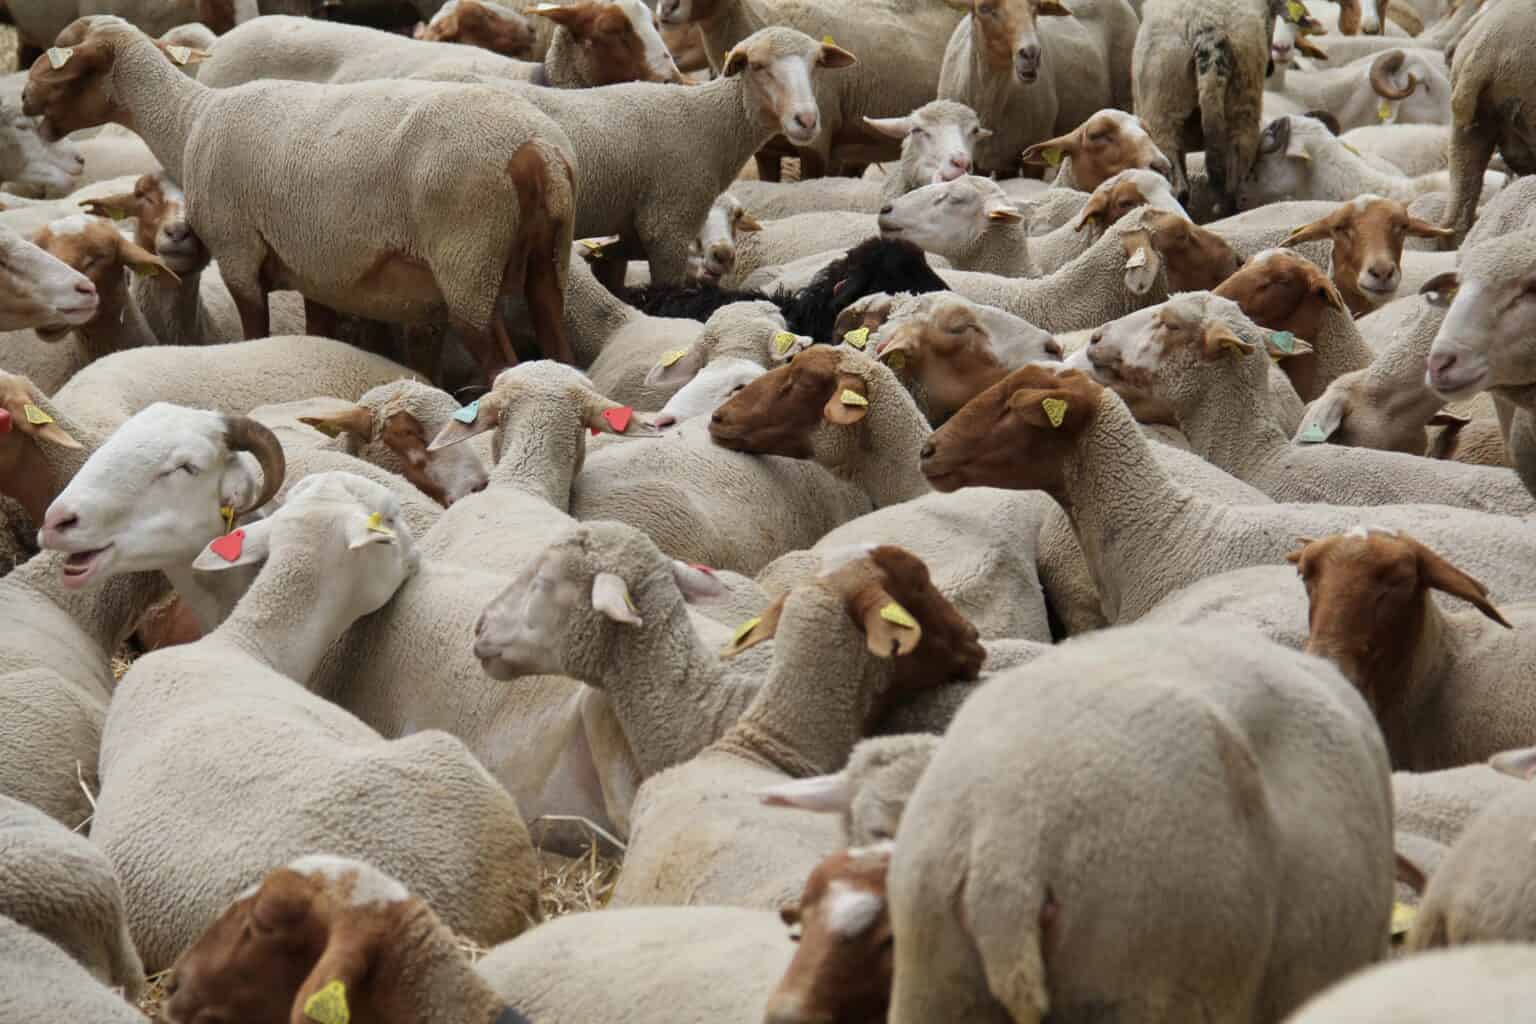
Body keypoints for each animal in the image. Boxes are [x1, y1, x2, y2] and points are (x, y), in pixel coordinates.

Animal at [25, 17, 580, 380]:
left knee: (502, 365)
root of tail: (540, 150)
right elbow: (317, 335)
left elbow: (255, 334)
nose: (26, 98)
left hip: (469, 264)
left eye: (65, 65)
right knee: (562, 353)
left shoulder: (239, 252)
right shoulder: (315, 267)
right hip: (548, 263)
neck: (189, 121)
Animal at [1133, 0, 1274, 214]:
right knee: (1238, 159)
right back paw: (1227, 208)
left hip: (1163, 103)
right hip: (1243, 98)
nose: (1271, 68)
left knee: (1177, 182)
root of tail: (1207, 26)